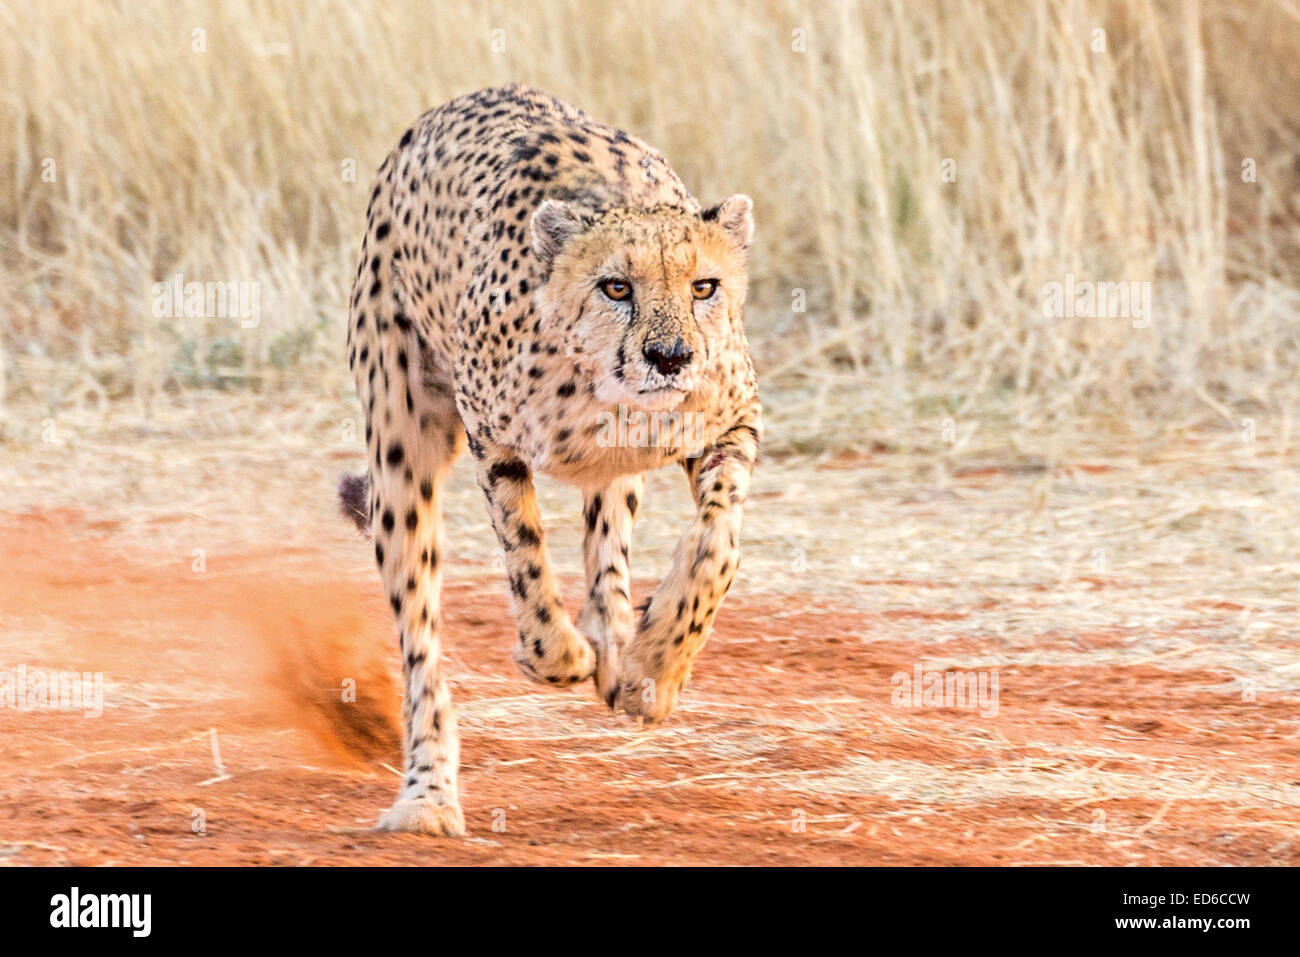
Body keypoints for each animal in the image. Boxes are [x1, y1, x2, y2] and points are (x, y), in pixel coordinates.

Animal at [340, 84, 761, 836]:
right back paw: (428, 794)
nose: (670, 356)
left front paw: (654, 666)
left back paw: (620, 643)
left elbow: (718, 546)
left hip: (614, 476)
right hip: (399, 453)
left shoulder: (729, 421)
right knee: (420, 640)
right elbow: (527, 561)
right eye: (616, 287)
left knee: (609, 547)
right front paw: (557, 656)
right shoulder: (493, 439)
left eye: (704, 287)